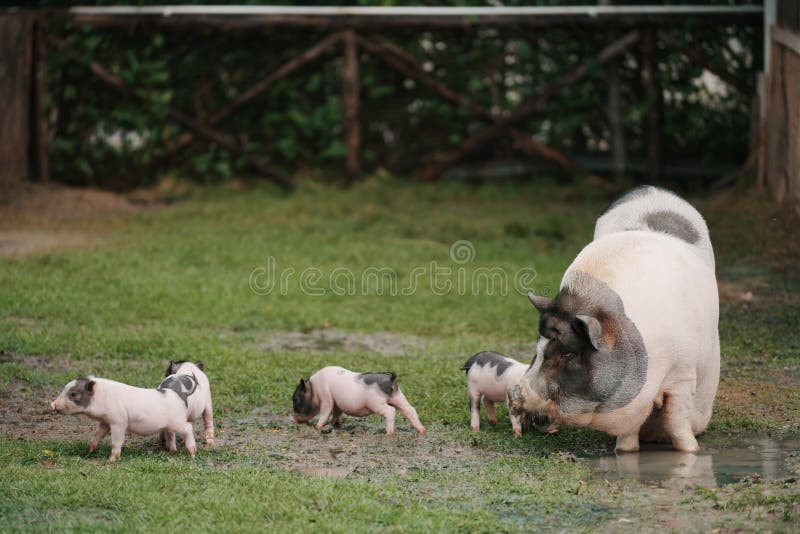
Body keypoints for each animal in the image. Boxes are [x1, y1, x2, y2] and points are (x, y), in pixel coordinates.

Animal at [51, 376, 198, 461]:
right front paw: (90, 450)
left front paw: (111, 460)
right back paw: (173, 451)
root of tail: (182, 394)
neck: (101, 398)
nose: (52, 404)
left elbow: (117, 441)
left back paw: (192, 453)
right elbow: (97, 435)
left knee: (188, 428)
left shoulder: (119, 420)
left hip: (177, 421)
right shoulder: (105, 421)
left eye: (73, 394)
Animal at [292, 366, 426, 436]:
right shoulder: (337, 404)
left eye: (296, 399)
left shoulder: (326, 398)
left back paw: (389, 433)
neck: (314, 388)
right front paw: (335, 424)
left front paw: (317, 427)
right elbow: (336, 413)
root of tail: (390, 378)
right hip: (398, 397)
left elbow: (325, 413)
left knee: (390, 411)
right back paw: (422, 431)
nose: (293, 420)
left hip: (376, 402)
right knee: (410, 410)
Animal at [517, 185, 720, 453]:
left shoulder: (683, 374)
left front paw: (692, 451)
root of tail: (650, 188)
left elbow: (677, 421)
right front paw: (625, 452)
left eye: (568, 352)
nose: (518, 391)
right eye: (538, 347)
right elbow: (628, 437)